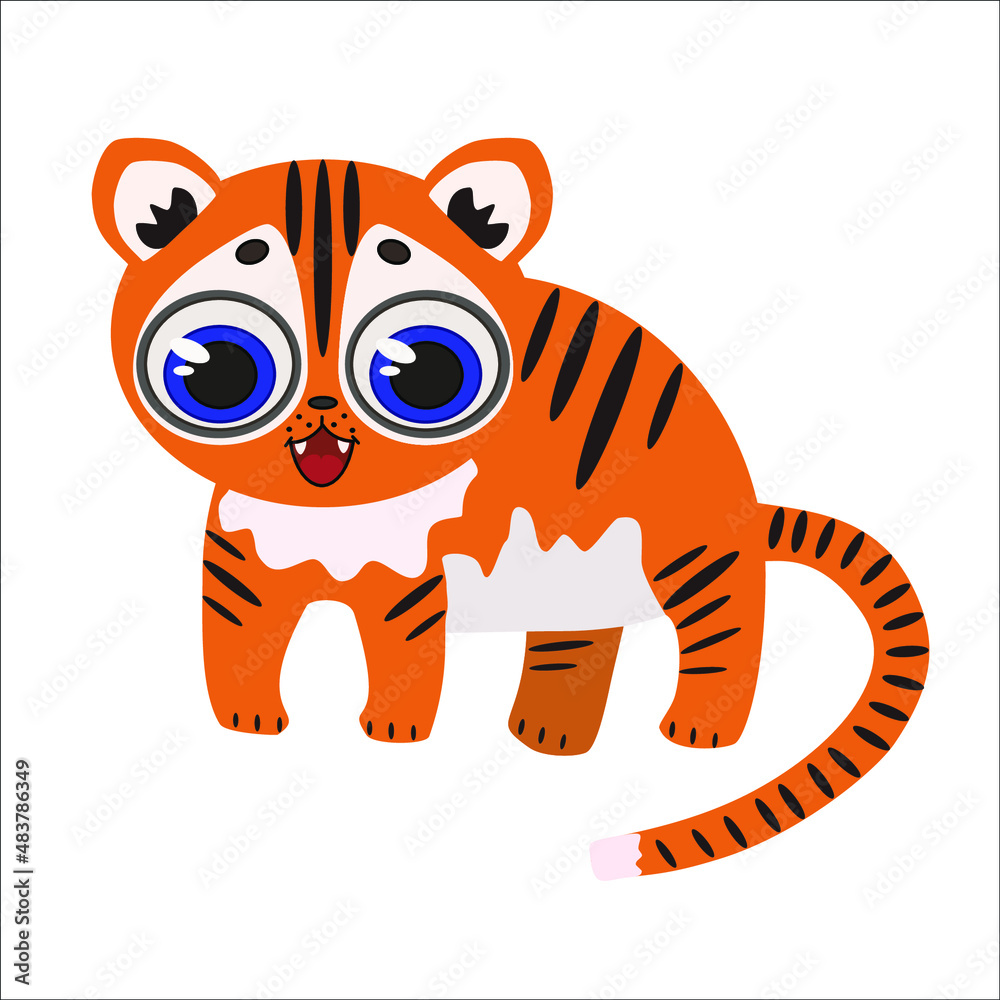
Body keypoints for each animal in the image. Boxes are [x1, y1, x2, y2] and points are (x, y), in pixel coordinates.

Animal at [91, 137, 929, 880]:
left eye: (424, 373)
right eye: (219, 371)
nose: (325, 415)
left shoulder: (411, 584)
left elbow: (402, 659)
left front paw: (393, 731)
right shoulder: (243, 566)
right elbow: (236, 643)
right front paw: (252, 721)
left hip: (687, 547)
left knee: (727, 628)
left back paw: (698, 729)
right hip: (575, 568)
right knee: (578, 643)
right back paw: (546, 735)